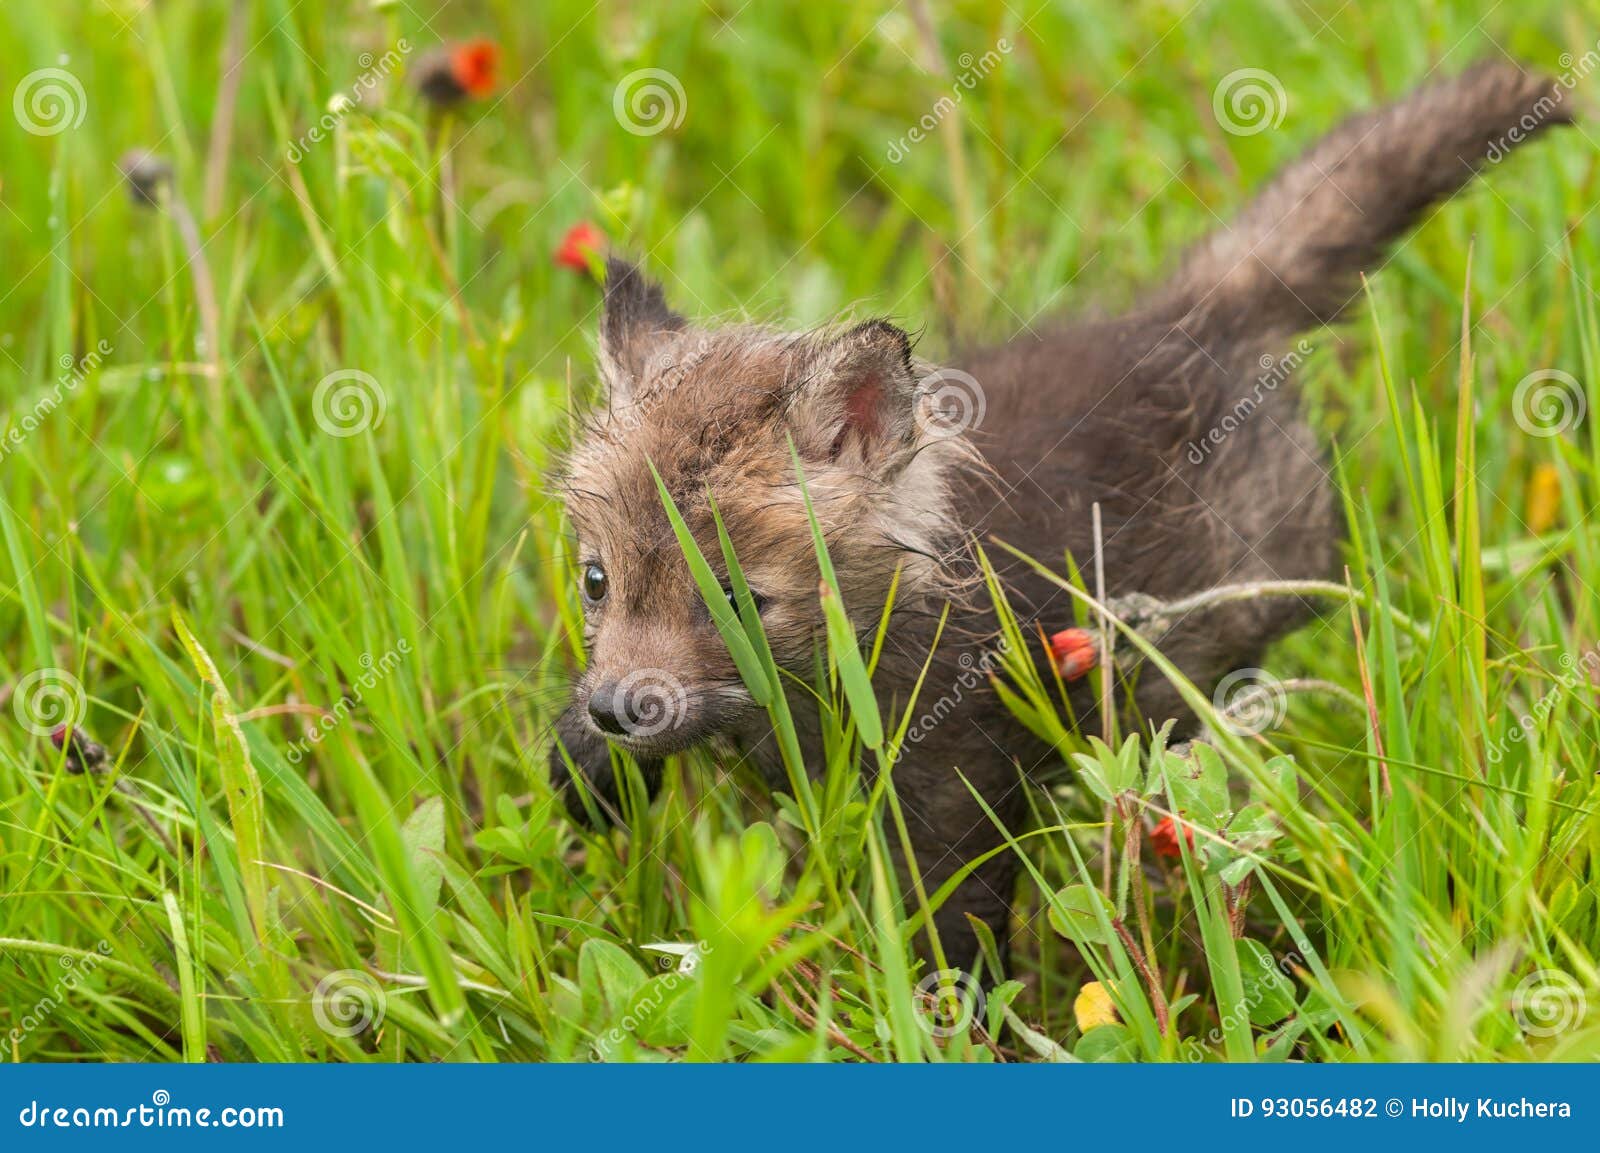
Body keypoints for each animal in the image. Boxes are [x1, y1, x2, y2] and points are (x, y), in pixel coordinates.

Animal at [548, 63, 1571, 964]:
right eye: (597, 580)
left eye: (737, 600)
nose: (616, 710)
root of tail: (1184, 319)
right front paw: (582, 774)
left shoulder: (950, 774)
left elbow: (948, 920)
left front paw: (950, 1015)